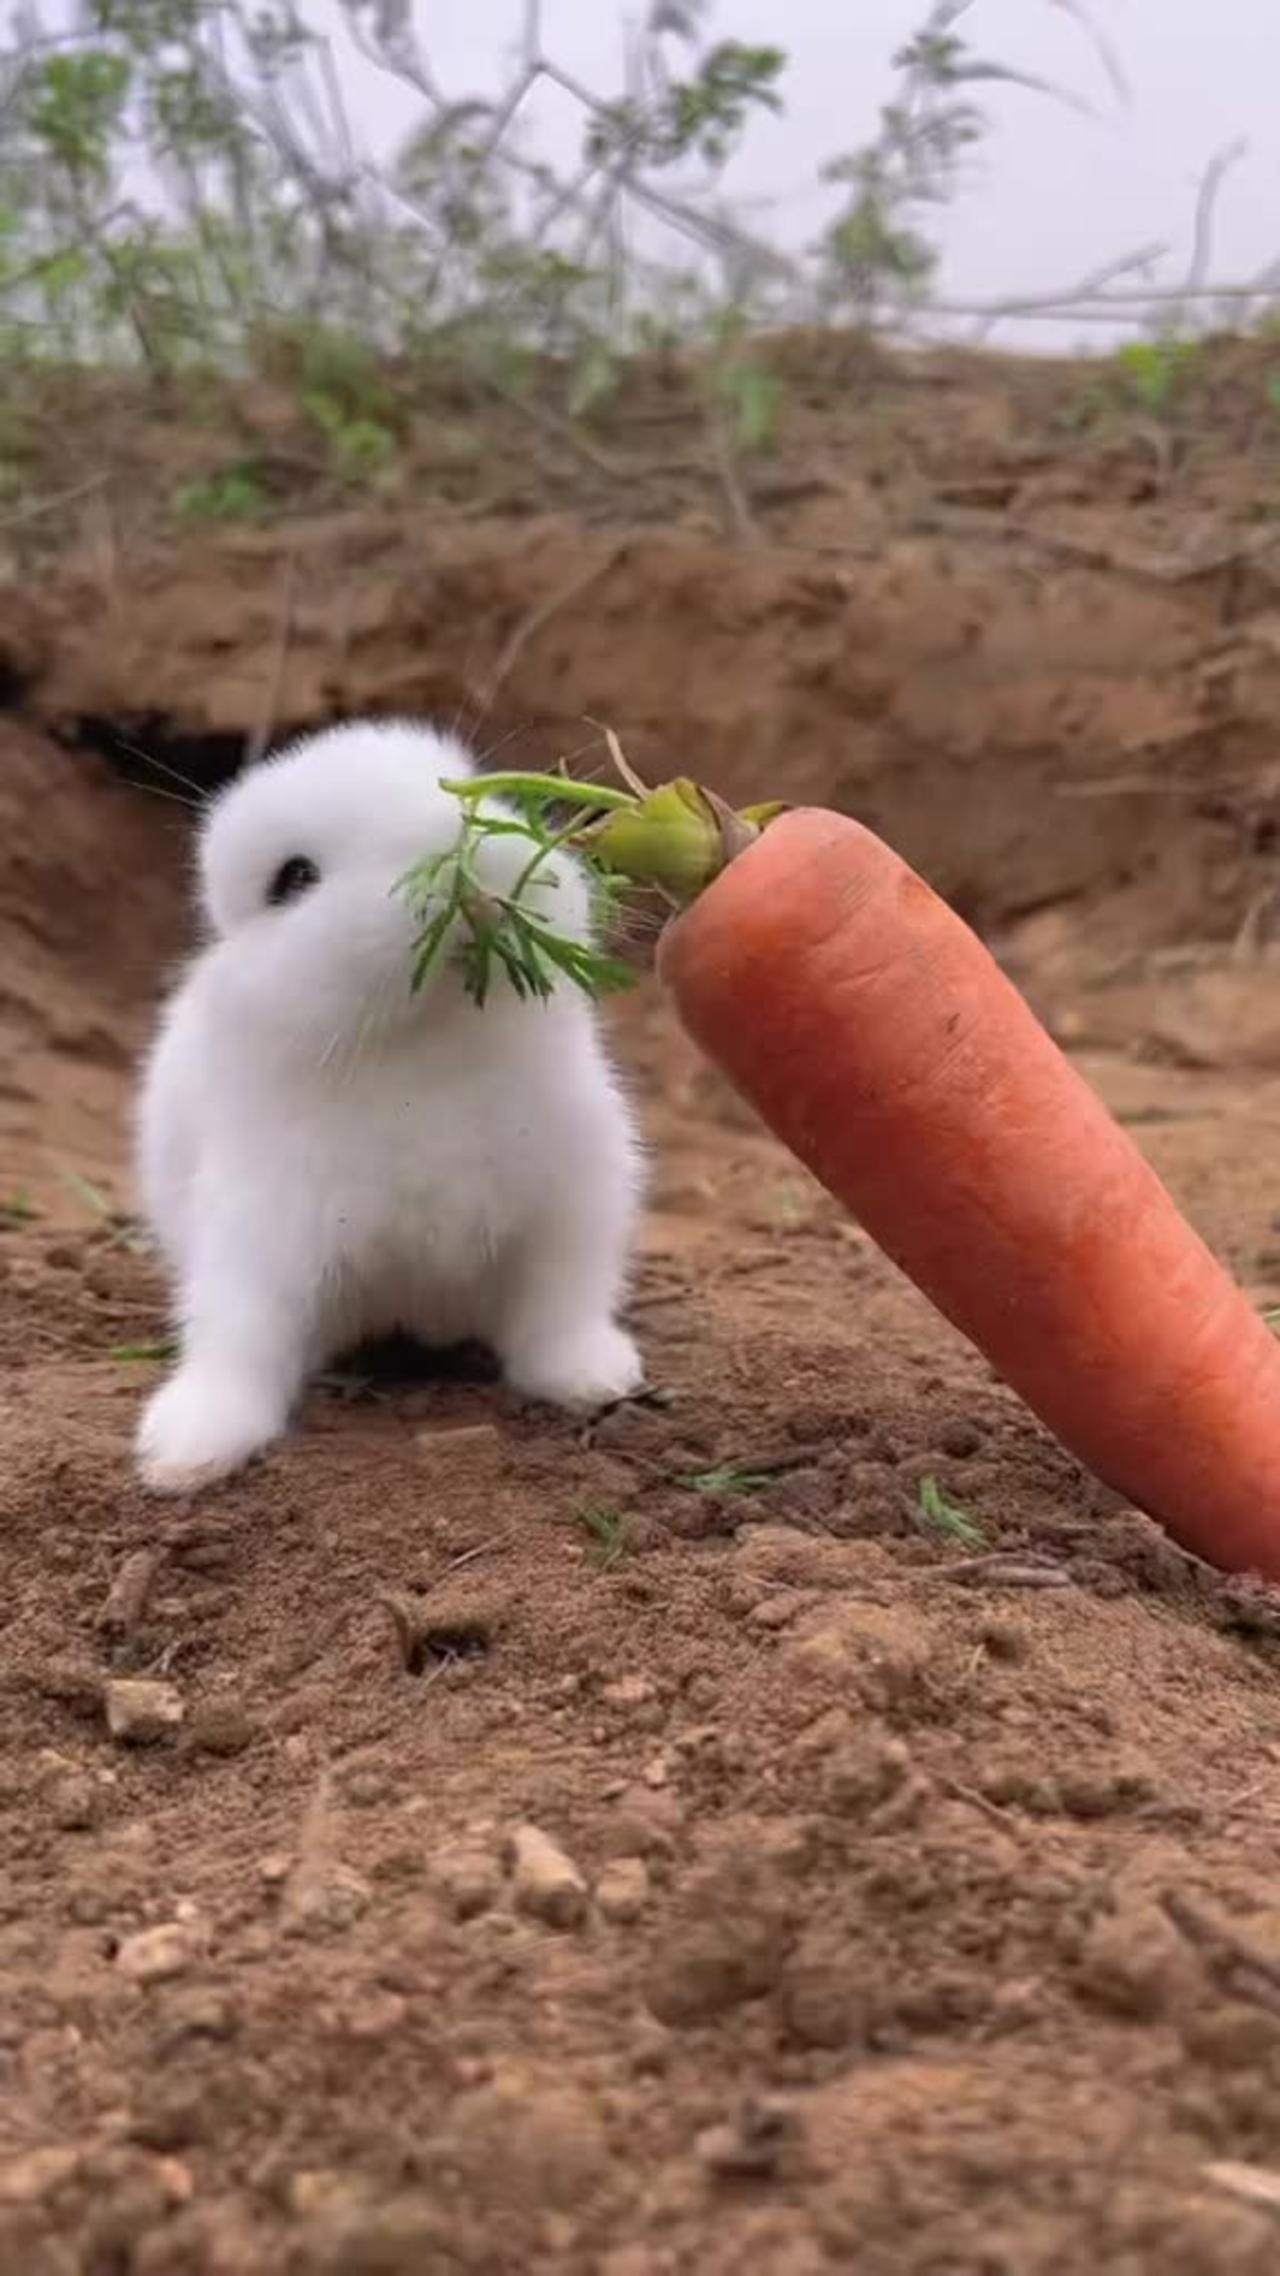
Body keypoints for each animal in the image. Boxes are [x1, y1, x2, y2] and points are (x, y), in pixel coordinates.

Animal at [135, 718, 644, 1494]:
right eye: (294, 878)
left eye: (474, 787)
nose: (455, 858)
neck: (425, 1055)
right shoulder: (258, 1230)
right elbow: (237, 1337)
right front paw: (183, 1454)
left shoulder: (573, 1210)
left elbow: (560, 1310)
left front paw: (594, 1380)